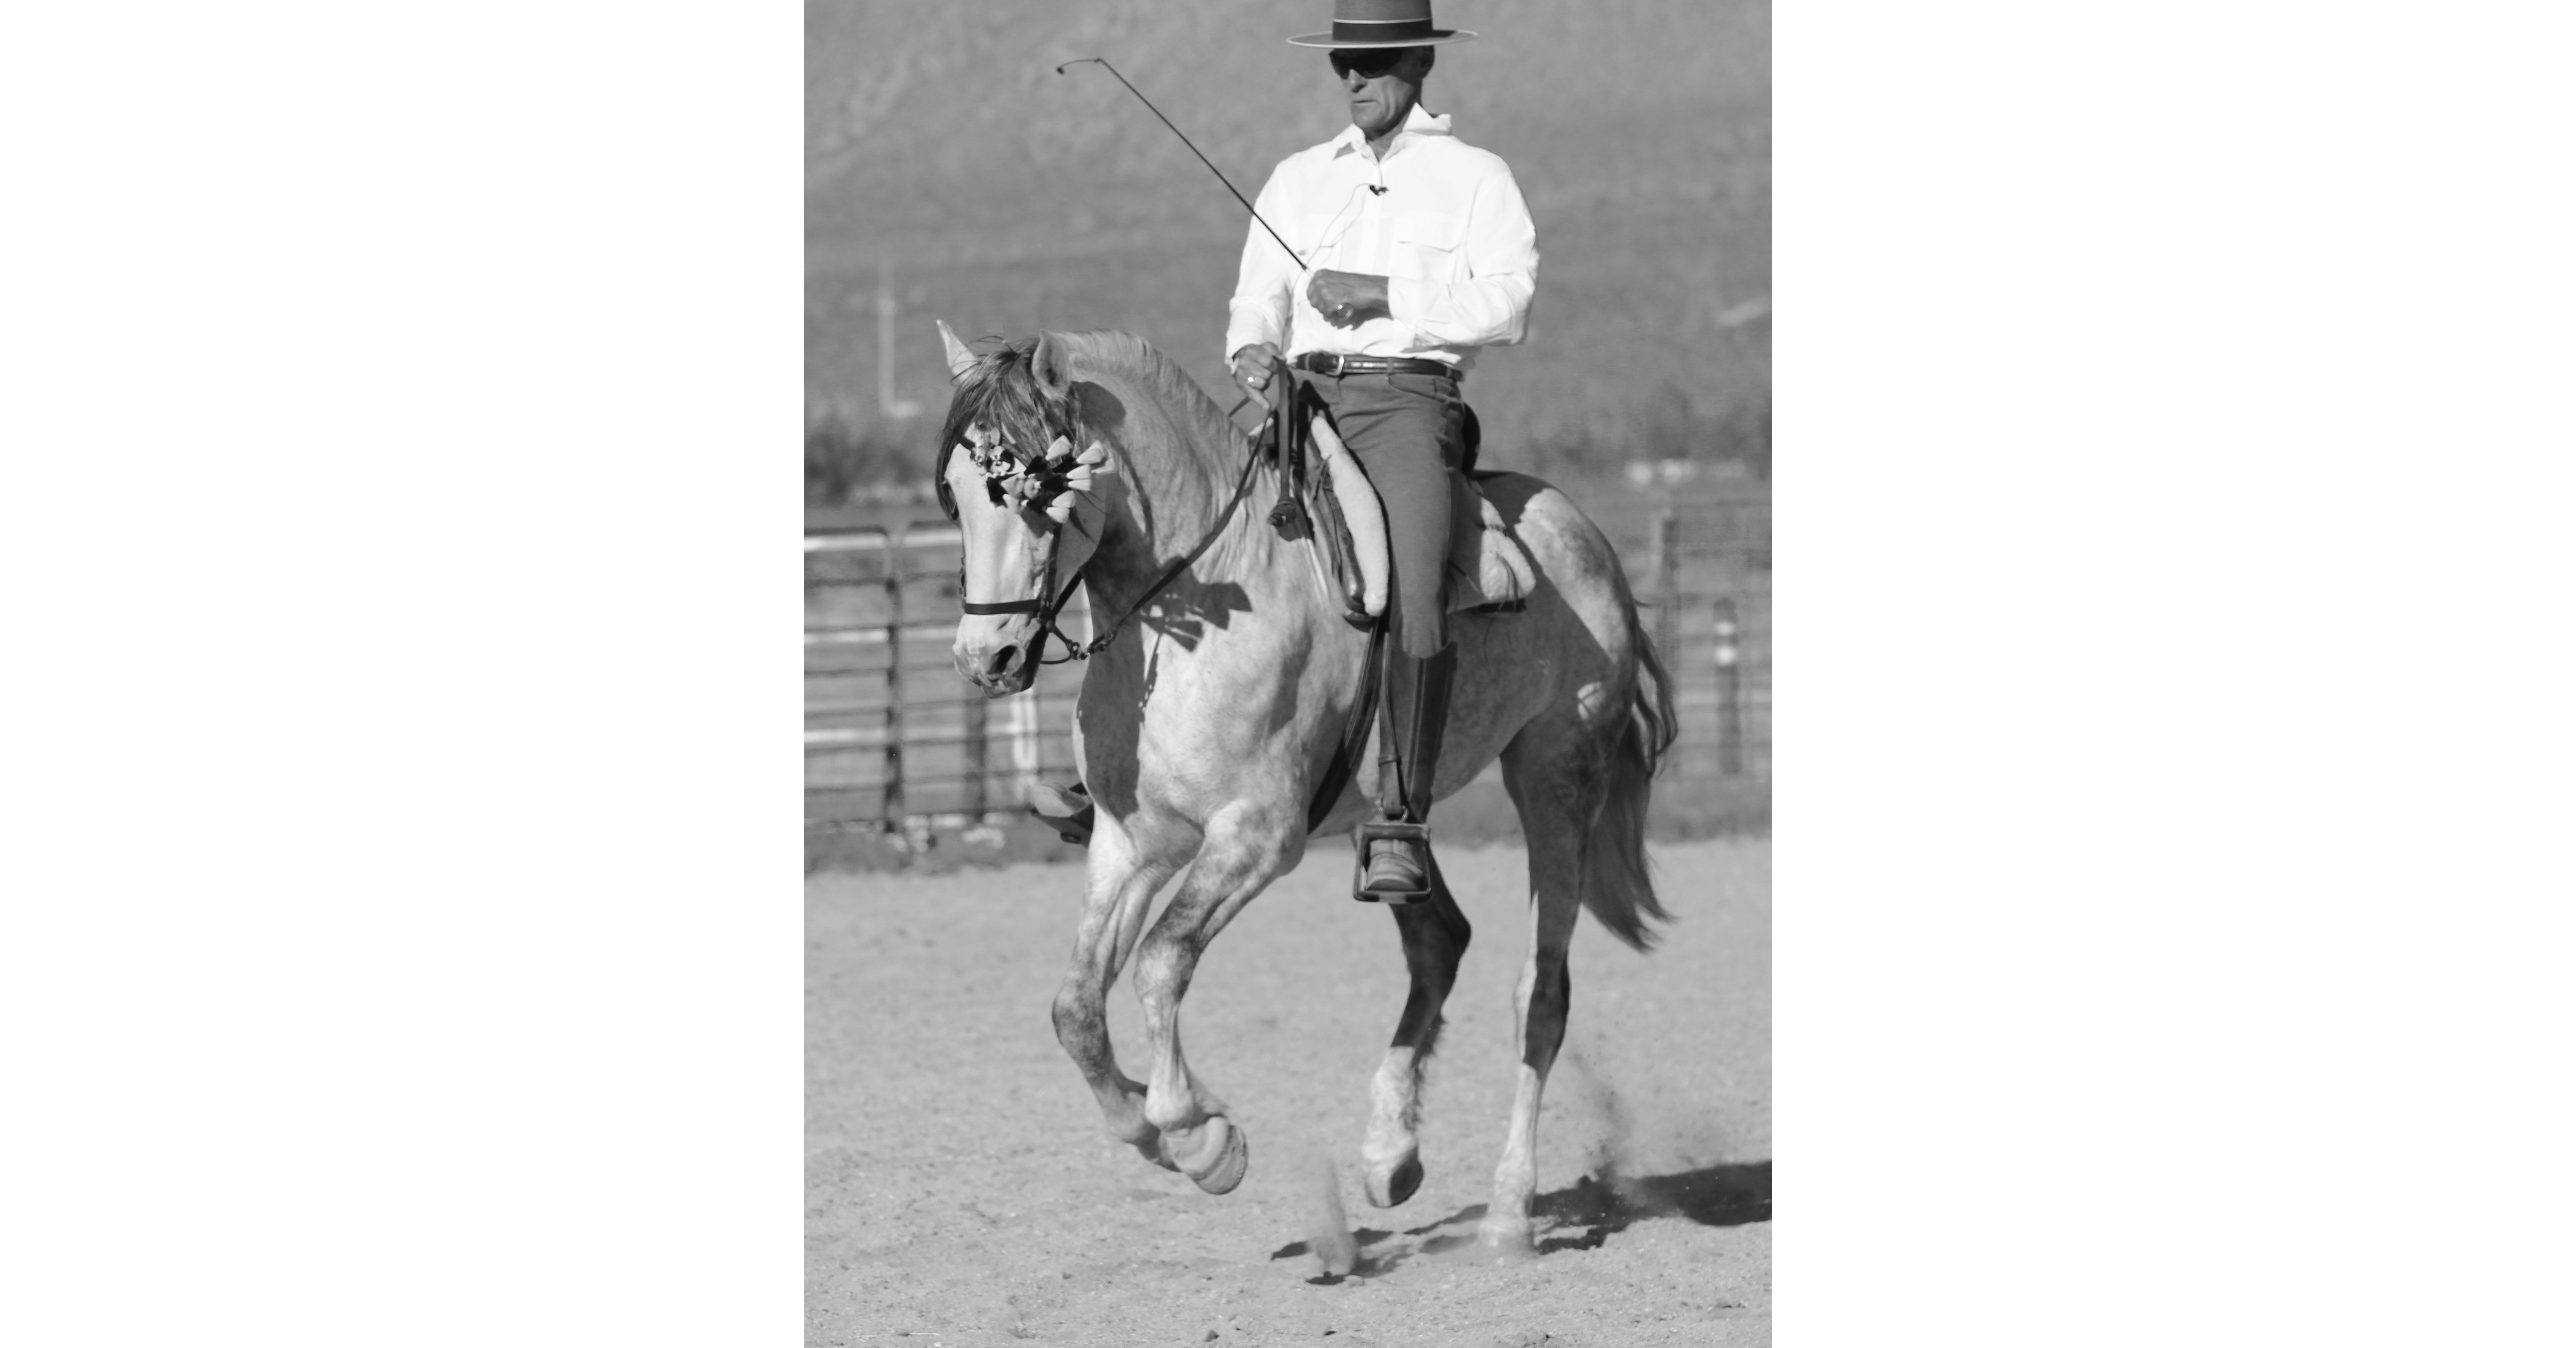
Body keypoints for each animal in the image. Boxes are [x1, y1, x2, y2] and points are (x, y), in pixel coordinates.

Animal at [932, 325, 1676, 1251]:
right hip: (1392, 823)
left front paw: (1202, 1135)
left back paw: (1508, 1211)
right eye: (957, 495)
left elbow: (1161, 961)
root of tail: (1586, 536)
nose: (986, 658)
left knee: (1540, 991)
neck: (1202, 600)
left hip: (1556, 778)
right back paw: (1390, 1154)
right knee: (1439, 940)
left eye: (1041, 491)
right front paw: (1146, 1126)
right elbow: (1075, 1005)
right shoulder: (1131, 839)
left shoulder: (1256, 837)